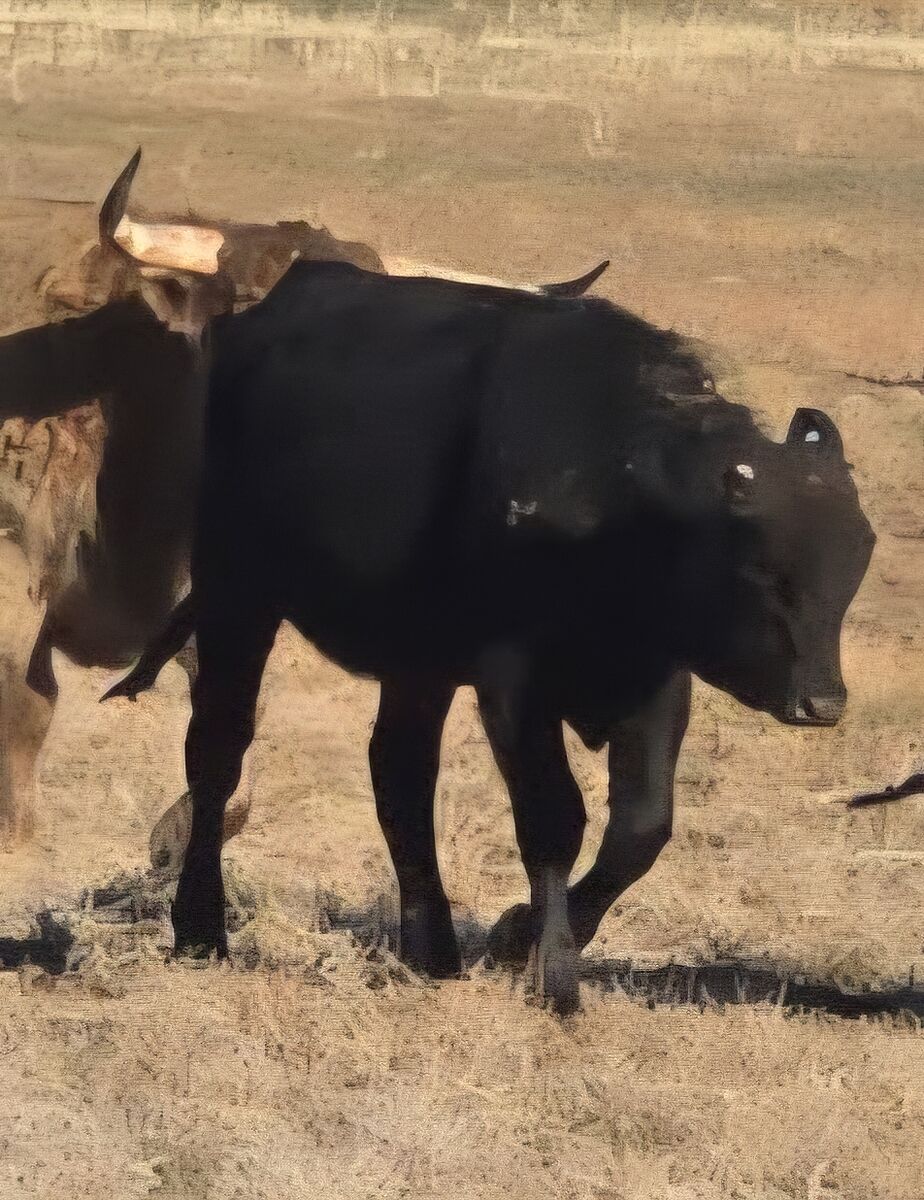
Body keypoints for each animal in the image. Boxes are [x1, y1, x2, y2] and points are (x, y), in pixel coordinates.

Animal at [105, 259, 875, 1015]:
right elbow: (554, 818)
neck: (610, 505)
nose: (823, 703)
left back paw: (432, 951)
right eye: (761, 569)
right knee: (218, 752)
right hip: (238, 598)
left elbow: (641, 828)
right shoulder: (514, 685)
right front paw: (554, 976)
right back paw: (201, 930)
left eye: (857, 560)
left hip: (414, 659)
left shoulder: (656, 683)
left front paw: (515, 936)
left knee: (400, 772)